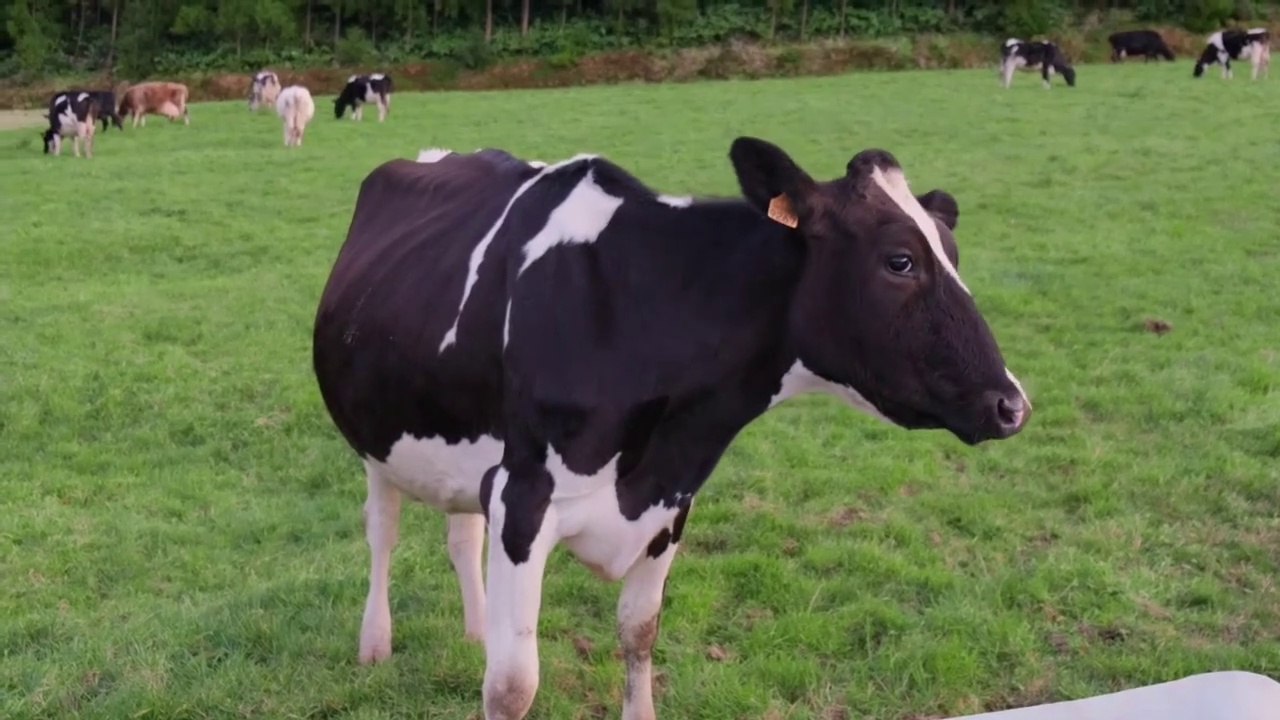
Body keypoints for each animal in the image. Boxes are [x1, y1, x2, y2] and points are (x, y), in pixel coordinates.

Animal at [312, 138, 1032, 719]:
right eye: (900, 261)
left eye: (953, 252)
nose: (1012, 405)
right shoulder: (523, 497)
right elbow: (512, 686)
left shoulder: (670, 500)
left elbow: (639, 634)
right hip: (377, 446)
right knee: (383, 534)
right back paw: (375, 643)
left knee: (462, 534)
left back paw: (475, 627)